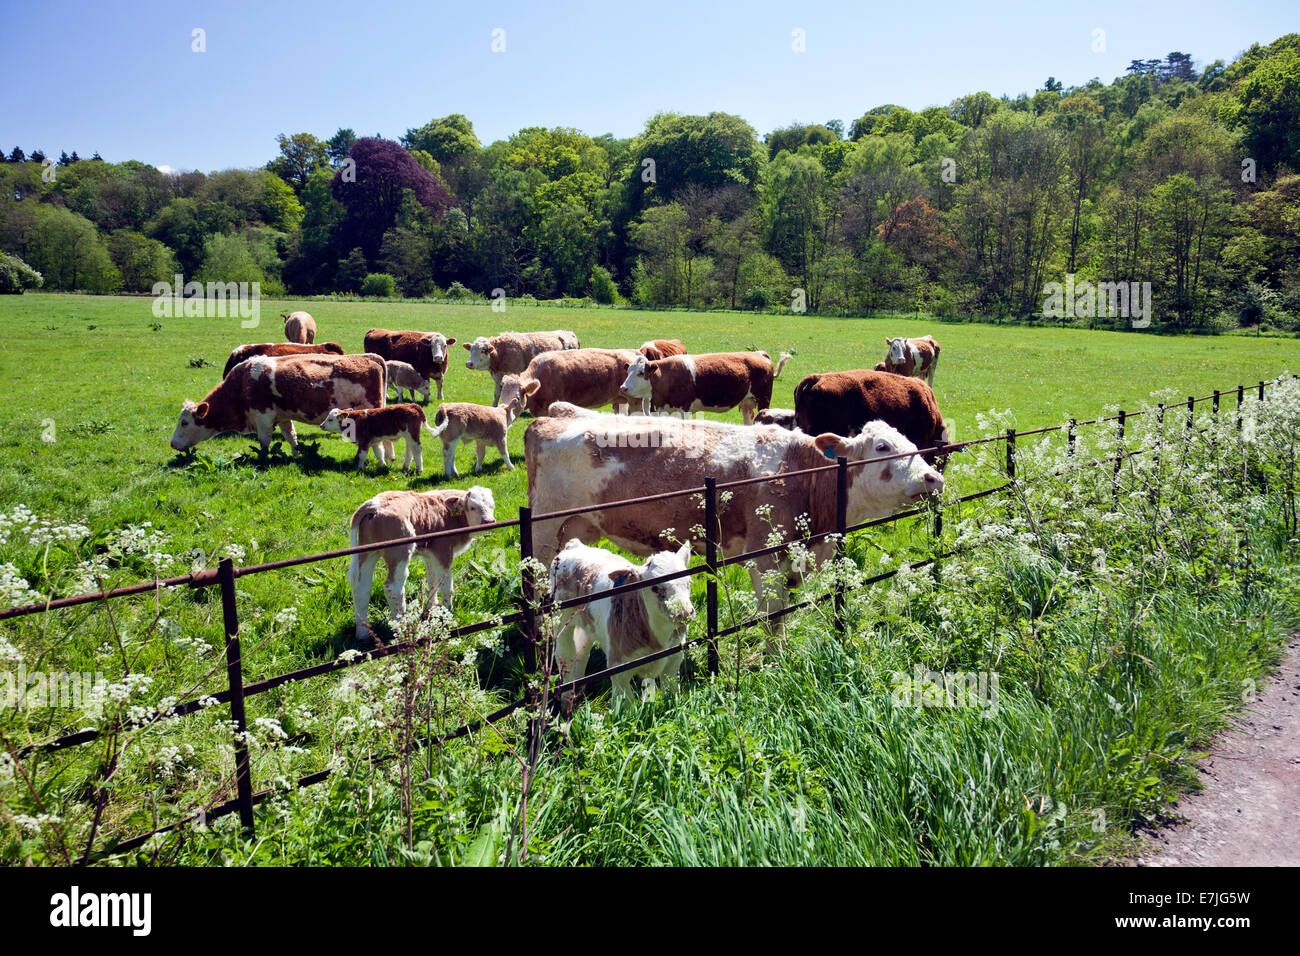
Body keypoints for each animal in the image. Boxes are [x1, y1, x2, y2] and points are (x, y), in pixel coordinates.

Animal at [170, 353, 386, 456]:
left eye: (184, 423)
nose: (172, 444)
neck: (242, 384)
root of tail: (371, 357)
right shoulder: (282, 417)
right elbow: (291, 436)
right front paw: (297, 454)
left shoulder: (263, 418)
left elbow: (264, 443)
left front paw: (263, 459)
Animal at [347, 486, 496, 641]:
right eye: (473, 507)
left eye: (492, 505)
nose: (489, 521)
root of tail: (375, 503)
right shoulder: (444, 552)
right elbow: (446, 586)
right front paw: (447, 615)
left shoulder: (430, 554)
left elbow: (432, 581)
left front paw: (432, 607)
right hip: (399, 553)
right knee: (393, 588)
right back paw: (403, 629)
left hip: (367, 552)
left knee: (361, 587)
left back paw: (363, 634)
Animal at [525, 405, 943, 628]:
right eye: (883, 446)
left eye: (912, 443)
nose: (934, 477)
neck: (802, 472)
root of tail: (557, 413)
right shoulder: (764, 558)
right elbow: (772, 618)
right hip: (543, 529)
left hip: (580, 527)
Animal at [550, 539, 695, 706]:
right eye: (656, 588)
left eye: (688, 582)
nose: (685, 613)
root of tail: (574, 545)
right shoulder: (618, 668)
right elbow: (627, 704)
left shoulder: (674, 659)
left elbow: (671, 694)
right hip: (561, 620)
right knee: (565, 655)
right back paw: (567, 700)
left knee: (582, 651)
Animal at [620, 351, 791, 425]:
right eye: (628, 371)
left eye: (641, 373)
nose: (623, 388)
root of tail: (760, 353)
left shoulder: (684, 409)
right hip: (747, 402)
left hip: (764, 399)